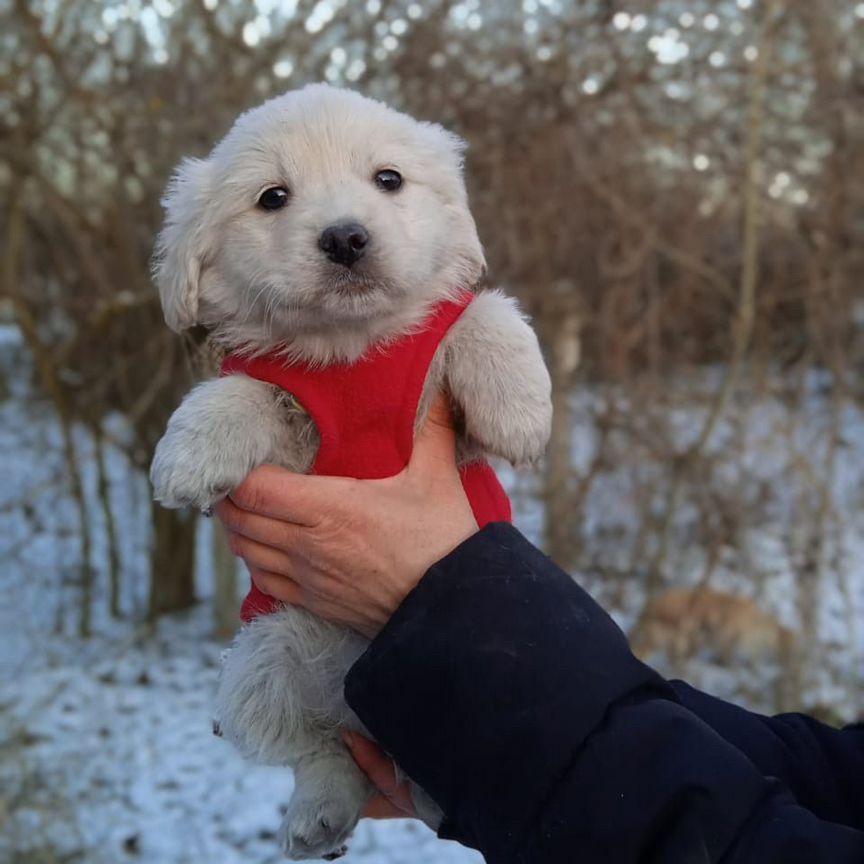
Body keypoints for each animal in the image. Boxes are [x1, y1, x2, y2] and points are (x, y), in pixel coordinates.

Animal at [149, 84, 552, 860]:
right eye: (273, 197)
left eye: (388, 179)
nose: (344, 238)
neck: (352, 354)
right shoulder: (287, 419)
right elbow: (242, 391)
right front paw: (188, 454)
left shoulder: (448, 402)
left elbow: (485, 313)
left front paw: (520, 411)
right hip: (264, 661)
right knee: (322, 751)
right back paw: (319, 817)